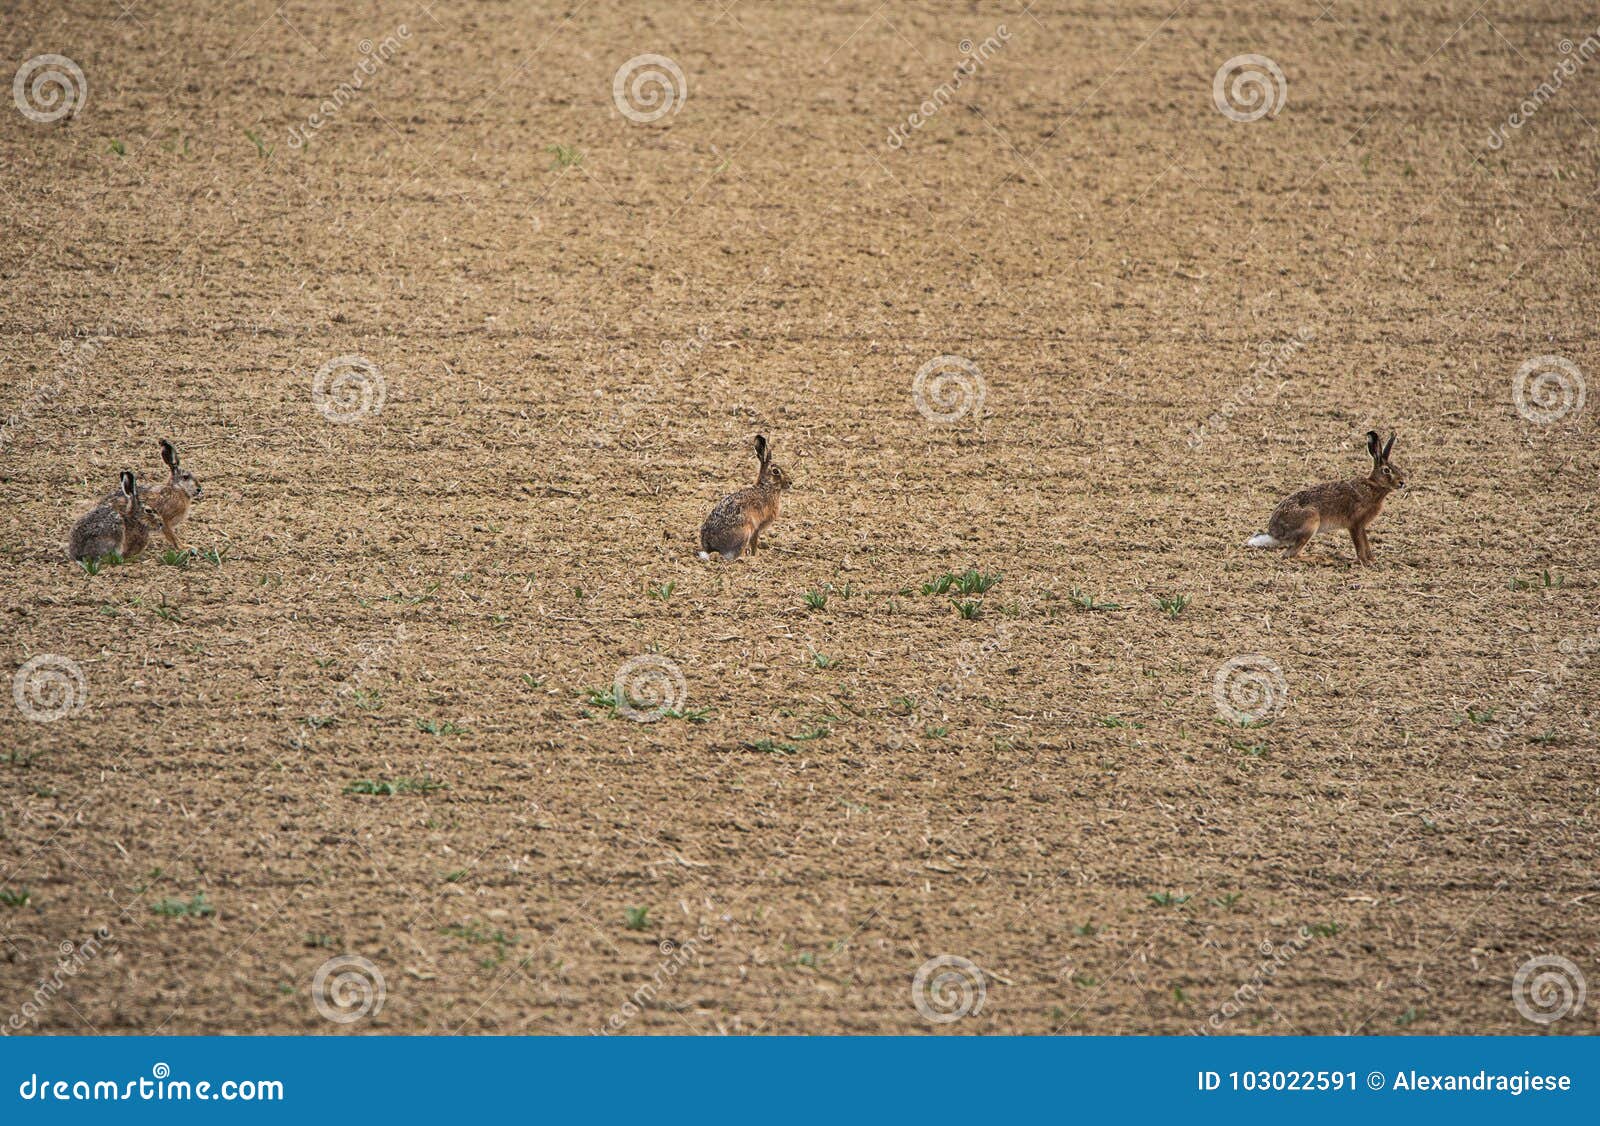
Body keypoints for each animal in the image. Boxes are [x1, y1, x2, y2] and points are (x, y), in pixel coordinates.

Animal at [1246, 430, 1408, 565]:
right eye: (1386, 470)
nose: (1402, 482)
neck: (1374, 486)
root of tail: (1274, 533)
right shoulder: (1355, 524)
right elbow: (1360, 544)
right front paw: (1365, 562)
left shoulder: (1361, 526)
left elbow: (1366, 543)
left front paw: (1372, 559)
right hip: (1310, 522)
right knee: (1289, 554)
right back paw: (1320, 559)